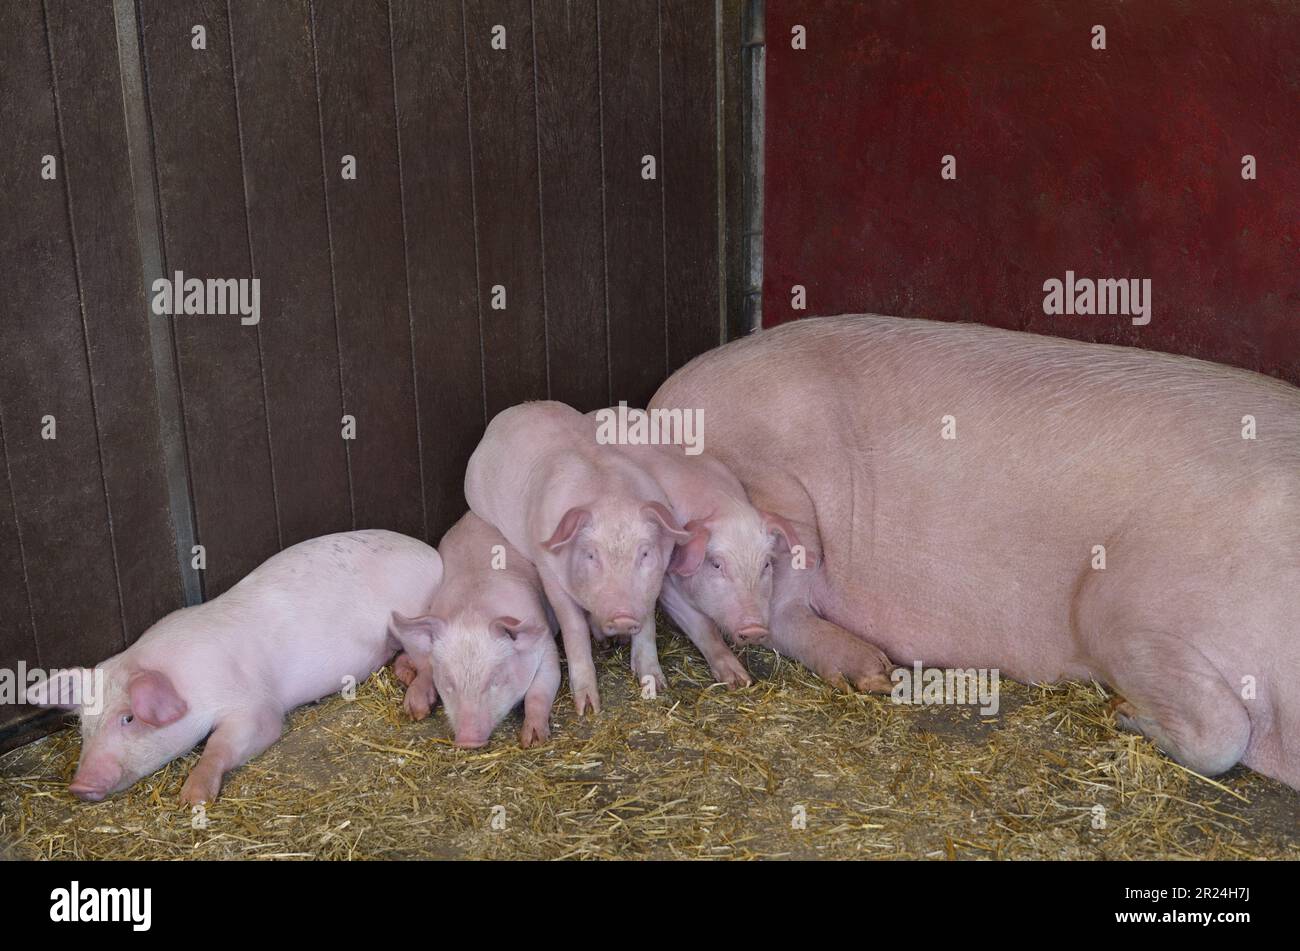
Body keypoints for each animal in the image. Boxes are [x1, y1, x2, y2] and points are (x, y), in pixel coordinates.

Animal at [24, 530, 442, 804]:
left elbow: (222, 743)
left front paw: (192, 798)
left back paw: (415, 707)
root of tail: (431, 554)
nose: (79, 786)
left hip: (407, 615)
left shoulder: (256, 707)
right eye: (85, 725)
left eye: (128, 718)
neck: (186, 680)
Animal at [387, 512, 560, 749]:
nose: (468, 740)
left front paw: (532, 740)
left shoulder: (546, 643)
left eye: (495, 679)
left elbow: (541, 688)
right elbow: (426, 667)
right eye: (448, 681)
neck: (475, 609)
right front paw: (415, 711)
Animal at [465, 401, 691, 714]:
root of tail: (519, 407)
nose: (622, 616)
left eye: (645, 552)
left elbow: (647, 625)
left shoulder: (652, 582)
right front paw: (588, 708)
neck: (610, 496)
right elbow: (574, 630)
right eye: (591, 555)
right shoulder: (549, 572)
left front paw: (655, 685)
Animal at [650, 314, 1300, 788]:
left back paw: (878, 674)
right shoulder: (1122, 606)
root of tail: (663, 399)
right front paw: (1123, 711)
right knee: (759, 614)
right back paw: (874, 672)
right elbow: (1224, 734)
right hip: (773, 509)